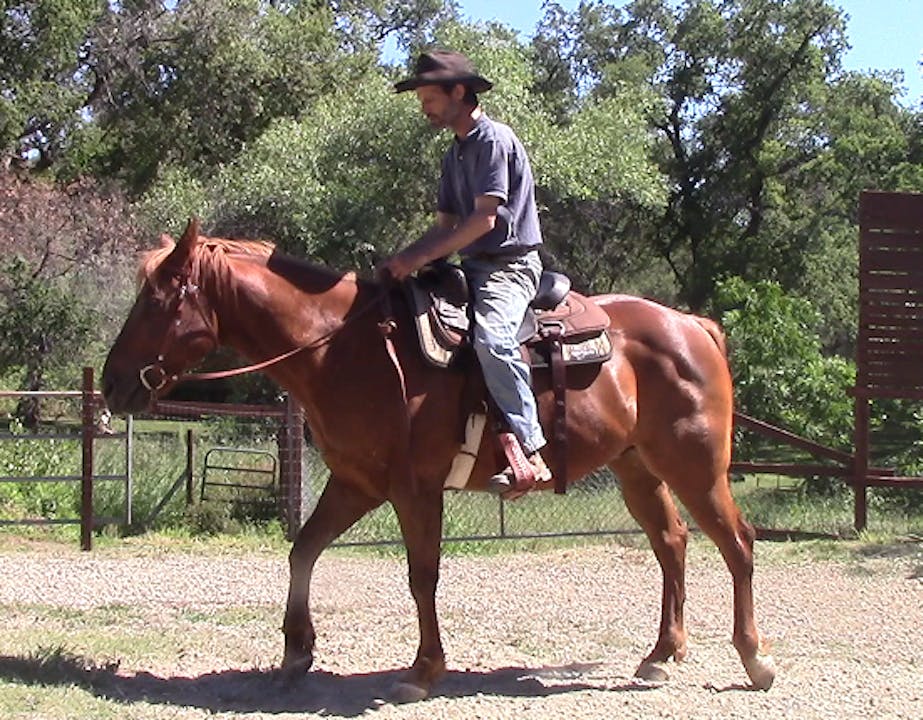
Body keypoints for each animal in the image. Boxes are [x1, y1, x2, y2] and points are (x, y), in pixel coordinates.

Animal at [102, 218, 775, 701]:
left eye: (157, 302)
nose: (112, 385)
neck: (343, 348)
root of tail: (692, 326)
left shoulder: (414, 489)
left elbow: (421, 576)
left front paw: (423, 670)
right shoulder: (355, 483)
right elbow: (303, 550)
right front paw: (296, 652)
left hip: (696, 467)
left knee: (737, 541)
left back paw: (755, 659)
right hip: (639, 468)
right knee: (672, 542)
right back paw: (662, 655)